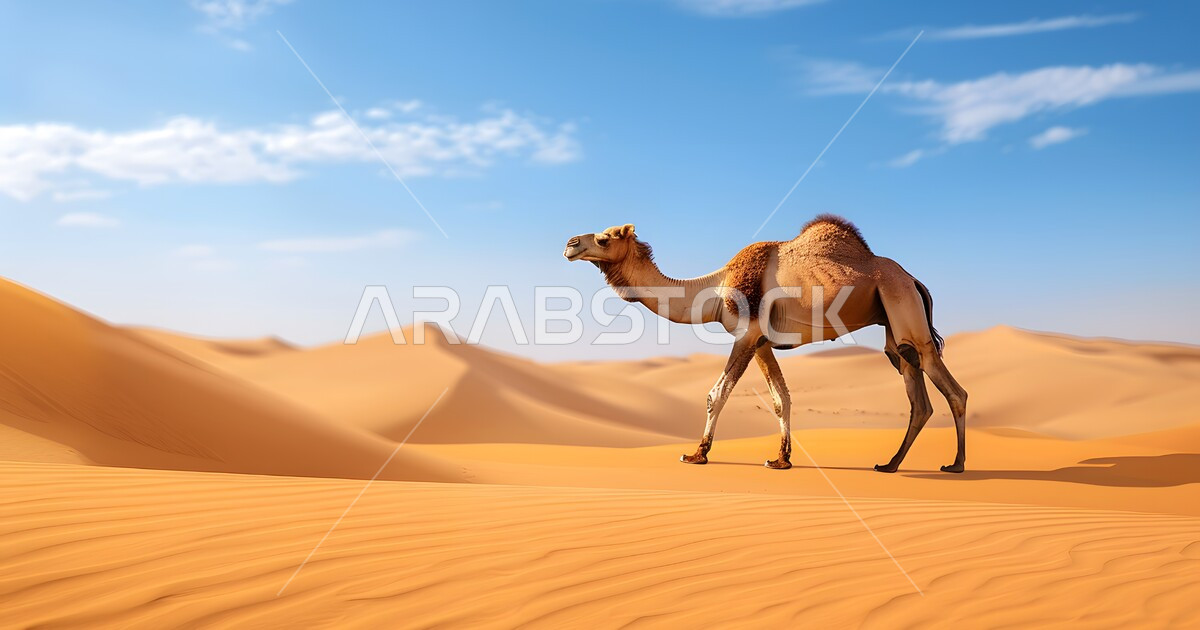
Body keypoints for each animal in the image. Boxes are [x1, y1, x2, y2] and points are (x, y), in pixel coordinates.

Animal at [564, 214, 968, 473]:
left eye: (604, 238)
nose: (570, 243)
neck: (714, 289)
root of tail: (914, 279)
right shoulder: (761, 341)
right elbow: (780, 398)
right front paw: (781, 459)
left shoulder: (745, 333)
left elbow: (716, 394)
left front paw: (697, 455)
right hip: (893, 326)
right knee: (917, 395)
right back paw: (890, 465)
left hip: (903, 309)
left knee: (951, 388)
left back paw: (955, 465)